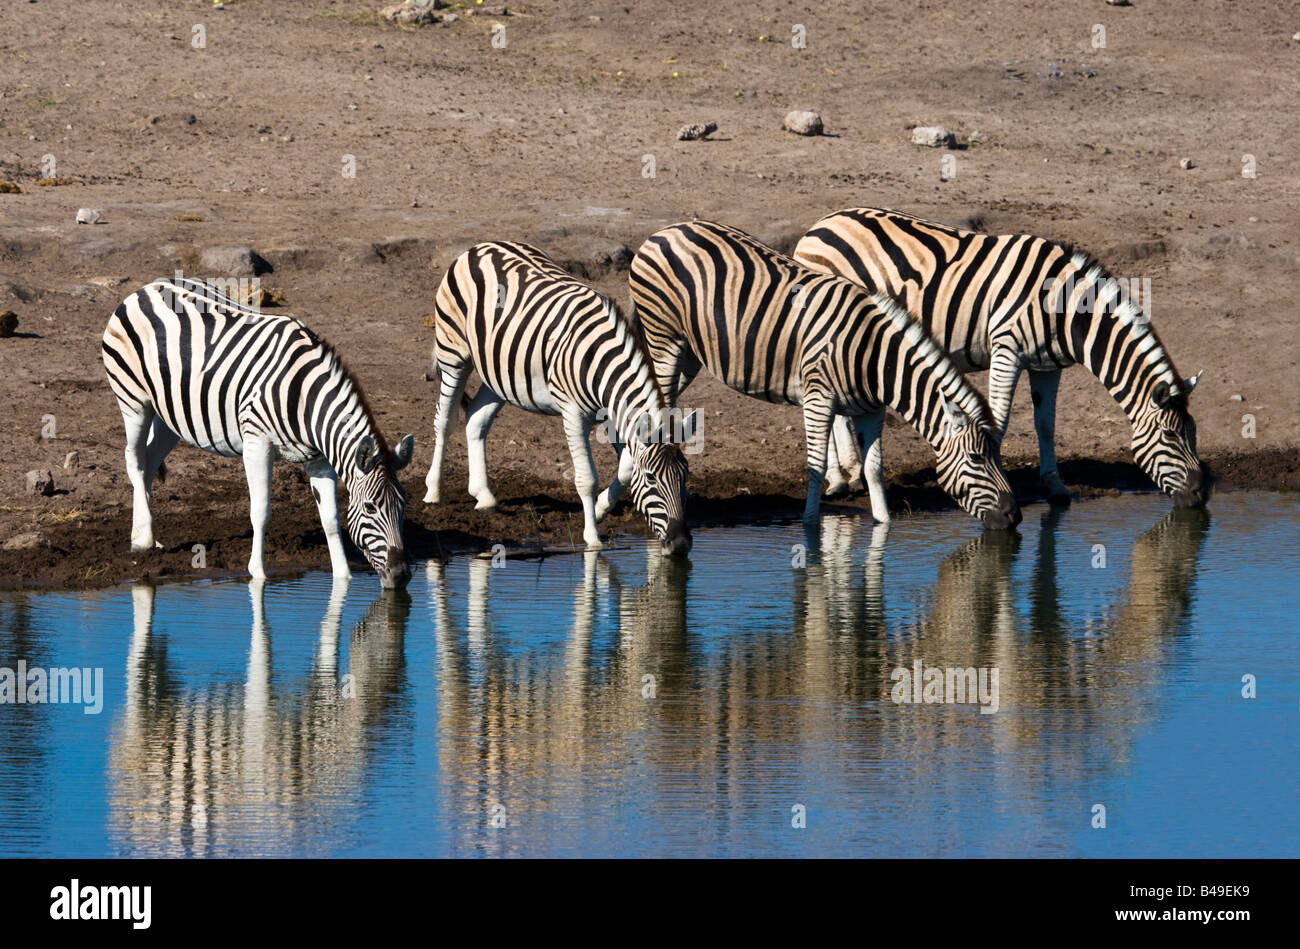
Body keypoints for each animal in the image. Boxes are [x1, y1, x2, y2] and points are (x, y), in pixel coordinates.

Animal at [102, 278, 415, 588]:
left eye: (403, 504)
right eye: (370, 508)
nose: (401, 575)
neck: (304, 396)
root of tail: (147, 287)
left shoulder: (319, 458)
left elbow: (330, 519)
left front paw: (342, 577)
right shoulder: (257, 443)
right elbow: (261, 511)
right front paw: (258, 574)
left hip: (171, 415)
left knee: (150, 461)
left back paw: (146, 534)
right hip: (133, 400)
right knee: (134, 460)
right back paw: (142, 539)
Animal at [423, 241, 693, 556]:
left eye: (685, 475)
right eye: (651, 478)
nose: (681, 543)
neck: (600, 362)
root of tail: (480, 247)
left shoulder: (614, 414)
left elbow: (626, 468)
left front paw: (600, 508)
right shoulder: (573, 414)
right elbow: (587, 478)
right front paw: (592, 538)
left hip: (499, 372)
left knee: (476, 419)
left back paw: (484, 495)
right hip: (453, 353)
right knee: (445, 420)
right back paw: (433, 491)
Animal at [628, 219, 1021, 530]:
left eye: (998, 457)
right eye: (976, 459)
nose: (1014, 516)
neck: (875, 356)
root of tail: (666, 230)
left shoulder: (872, 409)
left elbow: (874, 467)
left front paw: (883, 524)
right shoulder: (818, 398)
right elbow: (815, 466)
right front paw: (810, 527)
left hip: (689, 354)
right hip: (664, 341)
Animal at [793, 207, 1206, 506]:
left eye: (1194, 433)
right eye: (1171, 435)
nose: (1202, 495)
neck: (1066, 309)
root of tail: (820, 224)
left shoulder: (1048, 366)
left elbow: (1046, 424)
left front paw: (1056, 487)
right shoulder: (1007, 348)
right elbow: (1002, 421)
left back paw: (848, 472)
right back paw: (837, 479)